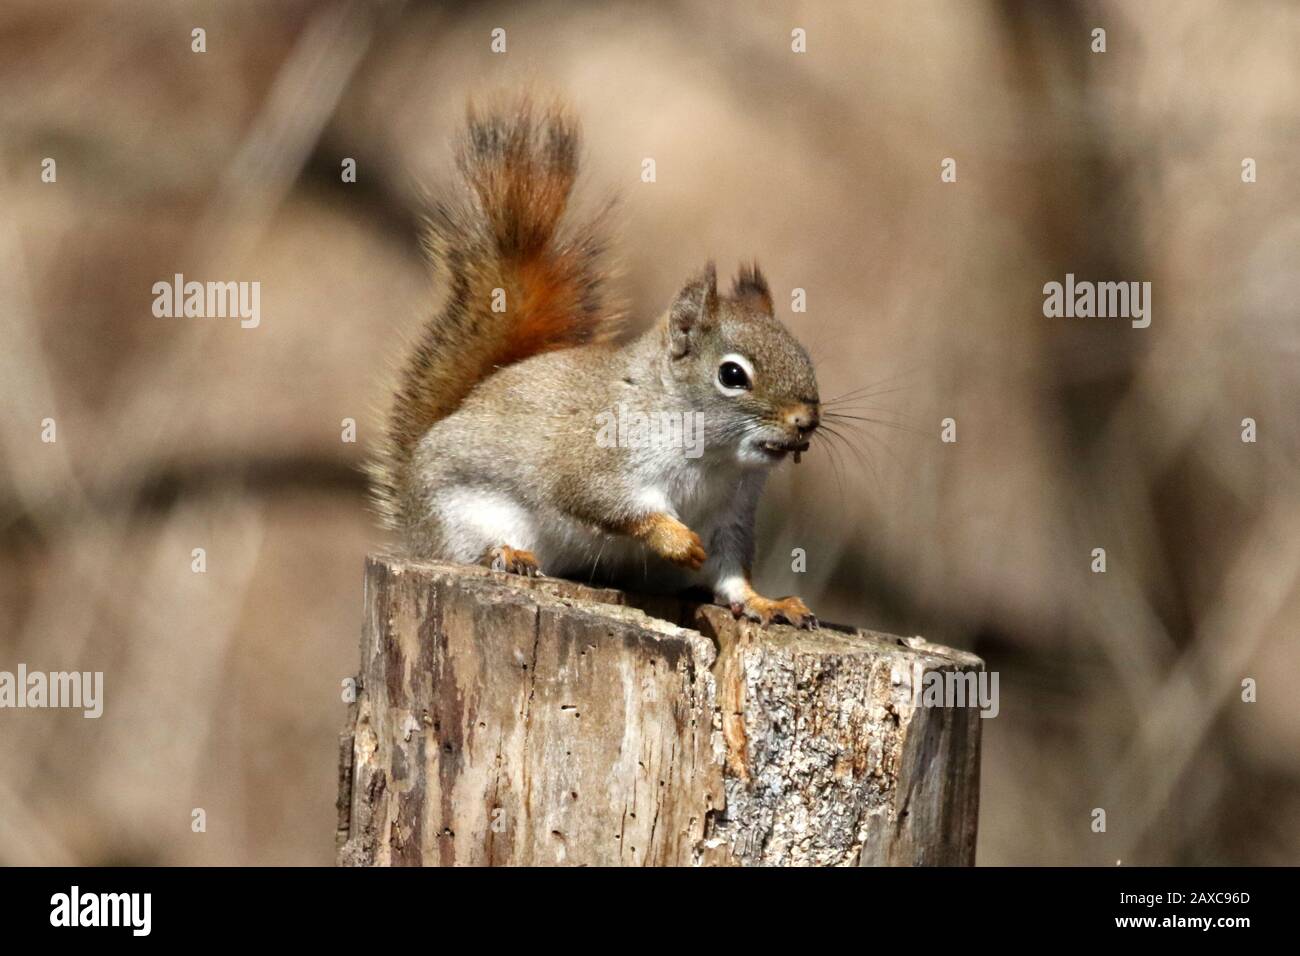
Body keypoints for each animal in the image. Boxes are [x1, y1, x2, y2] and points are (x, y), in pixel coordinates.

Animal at [369, 98, 821, 628]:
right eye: (732, 375)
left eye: (805, 356)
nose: (806, 421)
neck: (713, 458)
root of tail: (412, 520)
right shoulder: (597, 455)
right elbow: (599, 499)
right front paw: (674, 539)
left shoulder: (731, 517)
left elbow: (731, 577)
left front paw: (768, 603)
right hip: (457, 515)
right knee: (469, 548)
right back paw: (507, 554)